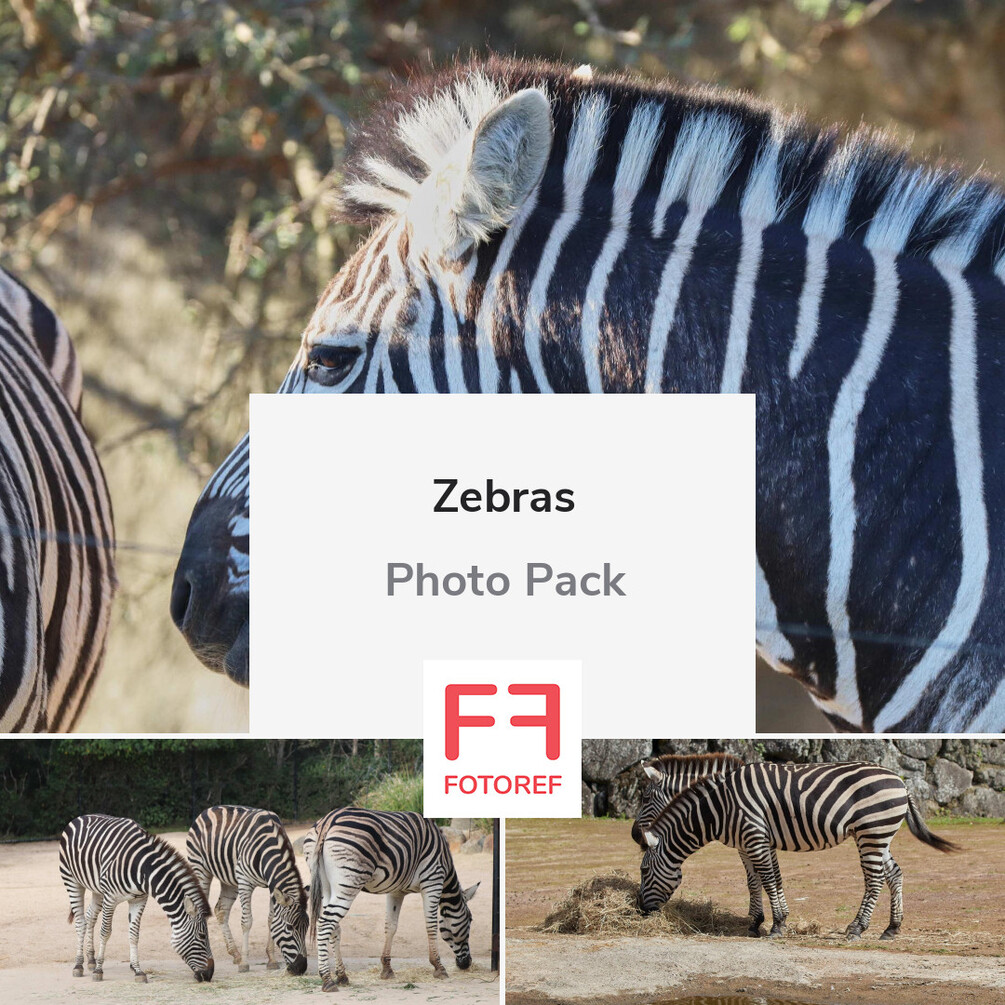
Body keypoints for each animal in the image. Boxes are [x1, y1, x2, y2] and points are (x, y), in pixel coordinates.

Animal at [59, 814, 214, 983]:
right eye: (202, 936)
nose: (210, 974)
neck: (143, 869)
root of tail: (80, 817)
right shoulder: (110, 898)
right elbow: (105, 932)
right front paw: (99, 971)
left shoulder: (138, 899)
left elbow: (134, 934)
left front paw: (138, 970)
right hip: (72, 880)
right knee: (80, 922)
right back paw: (79, 965)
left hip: (97, 889)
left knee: (90, 916)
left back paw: (91, 960)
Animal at [186, 805, 308, 975]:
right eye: (290, 927)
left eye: (307, 927)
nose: (301, 967)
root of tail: (208, 809)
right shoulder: (244, 882)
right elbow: (246, 921)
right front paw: (244, 963)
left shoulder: (271, 887)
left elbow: (271, 919)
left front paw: (271, 960)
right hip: (200, 869)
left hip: (230, 880)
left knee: (221, 910)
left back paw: (235, 954)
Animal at [307, 808, 478, 992]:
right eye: (470, 920)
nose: (467, 963)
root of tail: (328, 820)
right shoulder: (433, 880)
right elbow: (431, 925)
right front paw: (439, 967)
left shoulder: (396, 891)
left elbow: (391, 926)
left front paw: (387, 969)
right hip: (349, 883)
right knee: (324, 923)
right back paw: (327, 980)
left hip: (327, 886)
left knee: (334, 927)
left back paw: (342, 976)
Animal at [637, 761, 960, 940]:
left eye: (643, 870)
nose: (640, 910)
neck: (721, 807)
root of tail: (901, 783)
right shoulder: (756, 841)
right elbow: (764, 880)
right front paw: (763, 922)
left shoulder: (754, 837)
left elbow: (766, 880)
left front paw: (775, 925)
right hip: (879, 835)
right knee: (894, 874)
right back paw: (892, 928)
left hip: (872, 832)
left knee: (875, 880)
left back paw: (857, 928)